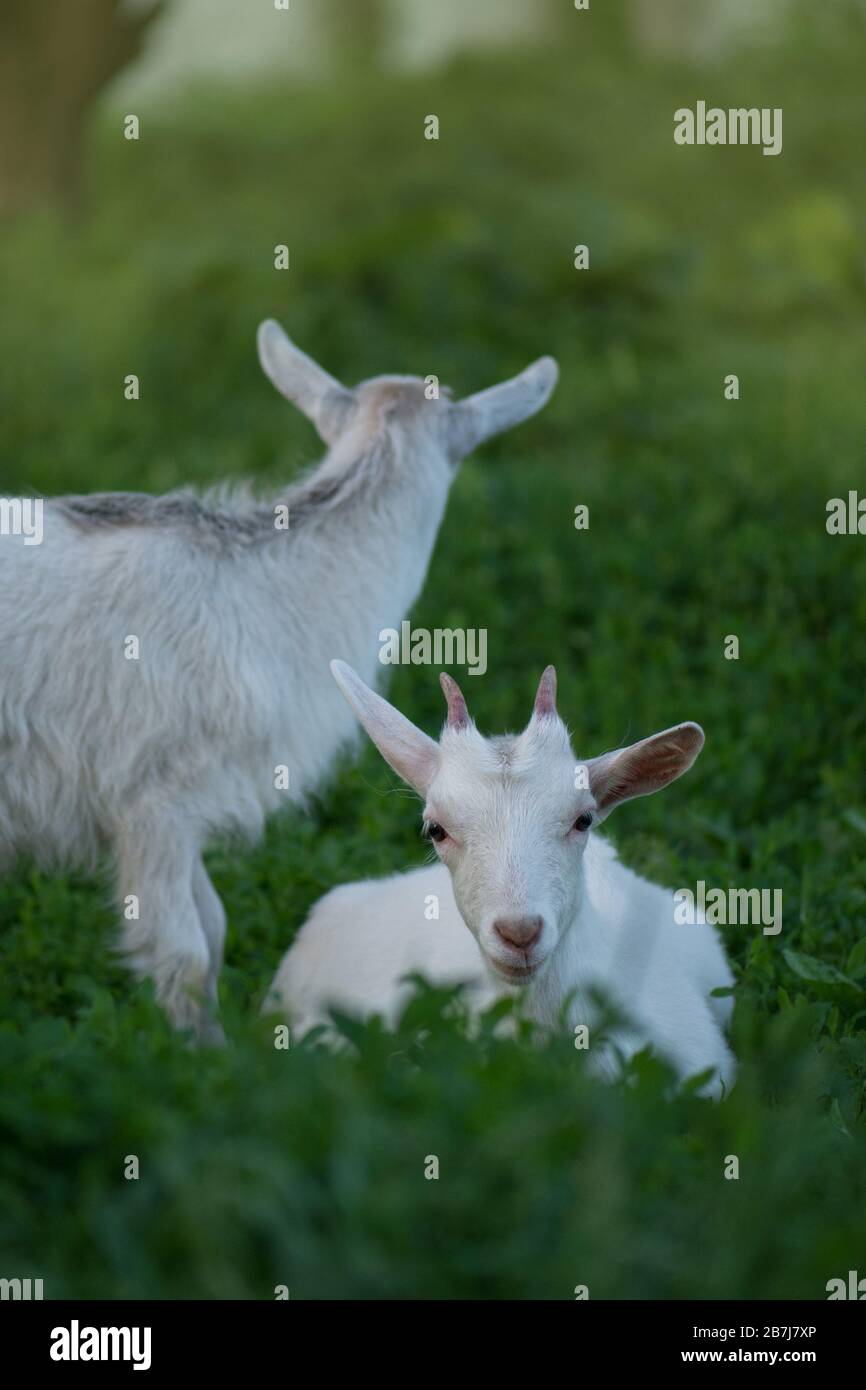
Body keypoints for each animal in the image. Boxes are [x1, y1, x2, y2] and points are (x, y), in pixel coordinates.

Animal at [0, 322, 558, 1038]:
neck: (272, 590)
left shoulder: (191, 803)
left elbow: (214, 929)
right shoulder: (150, 799)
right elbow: (185, 954)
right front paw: (190, 1052)